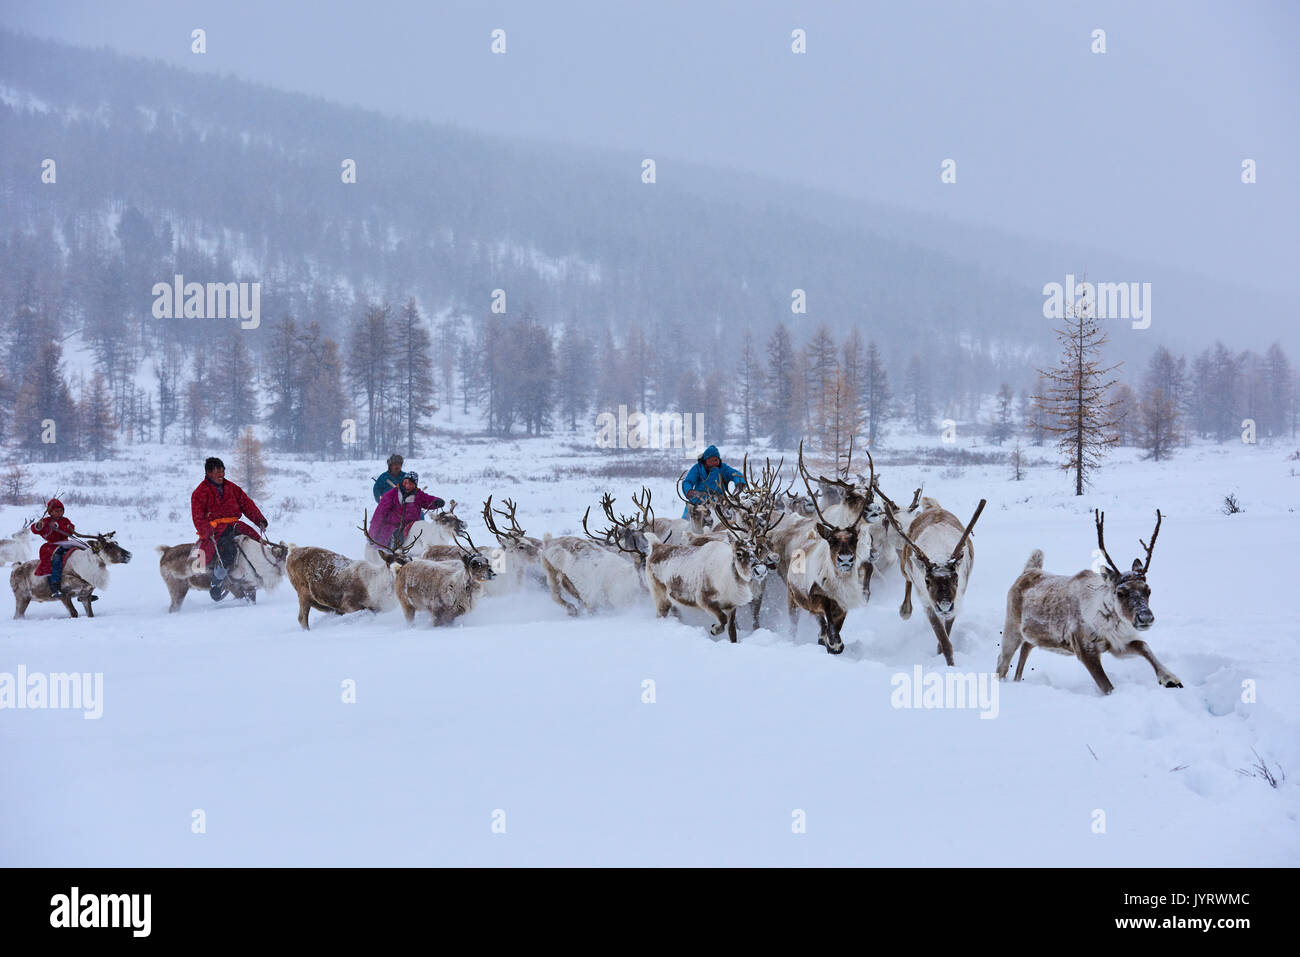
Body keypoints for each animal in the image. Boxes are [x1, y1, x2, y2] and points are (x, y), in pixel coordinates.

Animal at [157, 533, 290, 613]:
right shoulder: (237, 585)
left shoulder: (248, 587)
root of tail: (166, 551)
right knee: (173, 607)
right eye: (287, 557)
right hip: (177, 587)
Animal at [286, 513, 418, 630]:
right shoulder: (348, 603)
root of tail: (292, 551)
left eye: (410, 558)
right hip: (303, 592)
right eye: (399, 560)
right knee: (302, 619)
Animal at [768, 442, 873, 654]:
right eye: (850, 496)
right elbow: (828, 620)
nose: (846, 560)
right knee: (798, 621)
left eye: (854, 539)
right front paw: (833, 643)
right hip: (791, 595)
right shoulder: (817, 597)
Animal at [884, 495, 986, 666]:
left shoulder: (956, 601)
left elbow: (945, 637)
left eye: (956, 578)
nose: (944, 604)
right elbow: (945, 642)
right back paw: (905, 611)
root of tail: (933, 507)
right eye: (927, 580)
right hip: (905, 566)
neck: (940, 557)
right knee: (907, 580)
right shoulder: (927, 603)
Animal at [997, 509, 1180, 695]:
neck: (1106, 617)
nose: (1146, 618)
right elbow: (1107, 687)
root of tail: (1027, 571)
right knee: (1002, 661)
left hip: (1033, 635)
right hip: (1011, 627)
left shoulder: (1116, 644)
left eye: (1148, 590)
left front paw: (1170, 679)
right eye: (1120, 592)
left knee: (1025, 648)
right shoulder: (1084, 648)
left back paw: (1017, 680)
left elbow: (1143, 645)